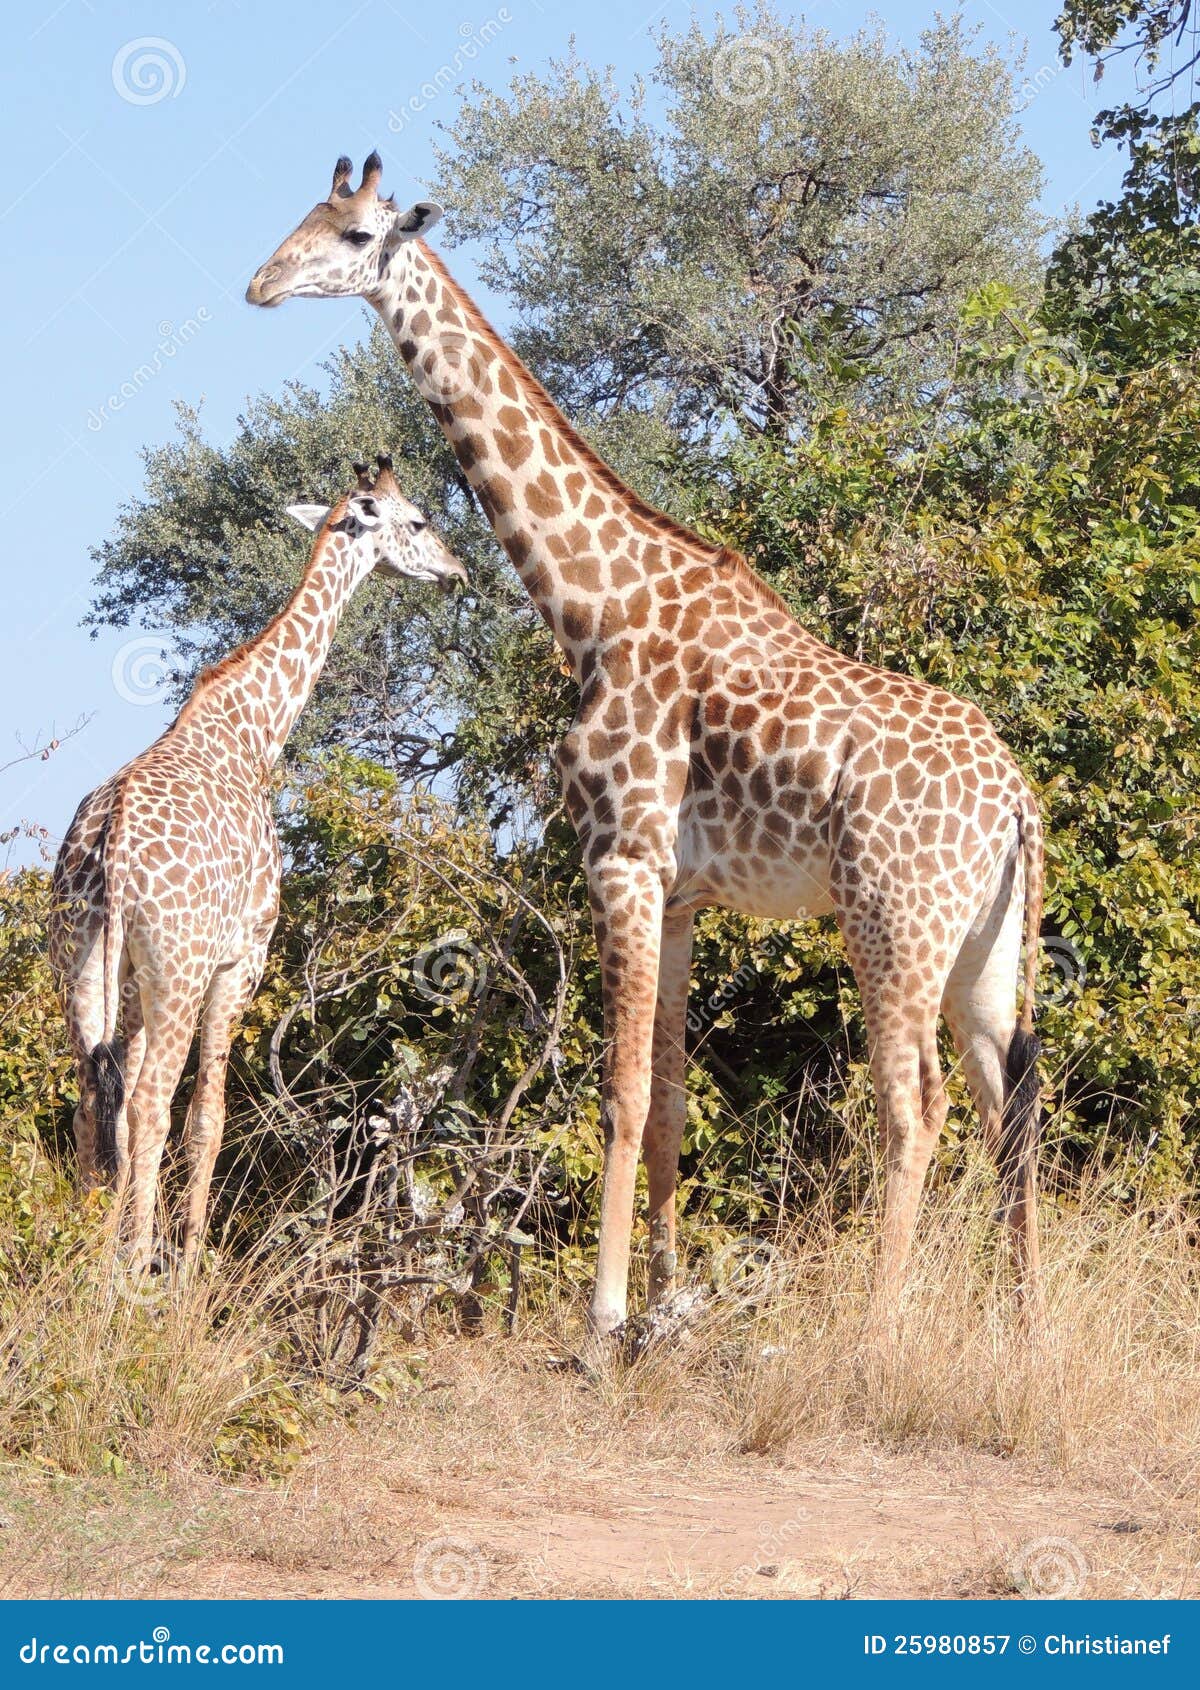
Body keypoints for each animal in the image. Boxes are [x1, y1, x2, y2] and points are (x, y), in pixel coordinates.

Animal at [50, 457, 466, 1267]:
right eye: (419, 521)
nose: (458, 571)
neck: (254, 733)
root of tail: (108, 846)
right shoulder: (241, 958)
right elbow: (208, 1117)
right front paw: (187, 1268)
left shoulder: (140, 984)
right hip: (178, 969)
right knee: (149, 1104)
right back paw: (137, 1268)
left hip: (83, 964)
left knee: (94, 1096)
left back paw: (86, 1261)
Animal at [247, 154, 1046, 1337]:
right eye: (302, 215)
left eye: (351, 235)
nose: (260, 283)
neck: (592, 601)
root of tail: (1017, 802)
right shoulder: (677, 892)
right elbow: (666, 1101)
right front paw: (667, 1302)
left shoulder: (619, 855)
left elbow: (617, 1093)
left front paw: (605, 1316)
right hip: (984, 947)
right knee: (1012, 1100)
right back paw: (1022, 1323)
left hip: (894, 919)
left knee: (916, 1108)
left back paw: (875, 1326)